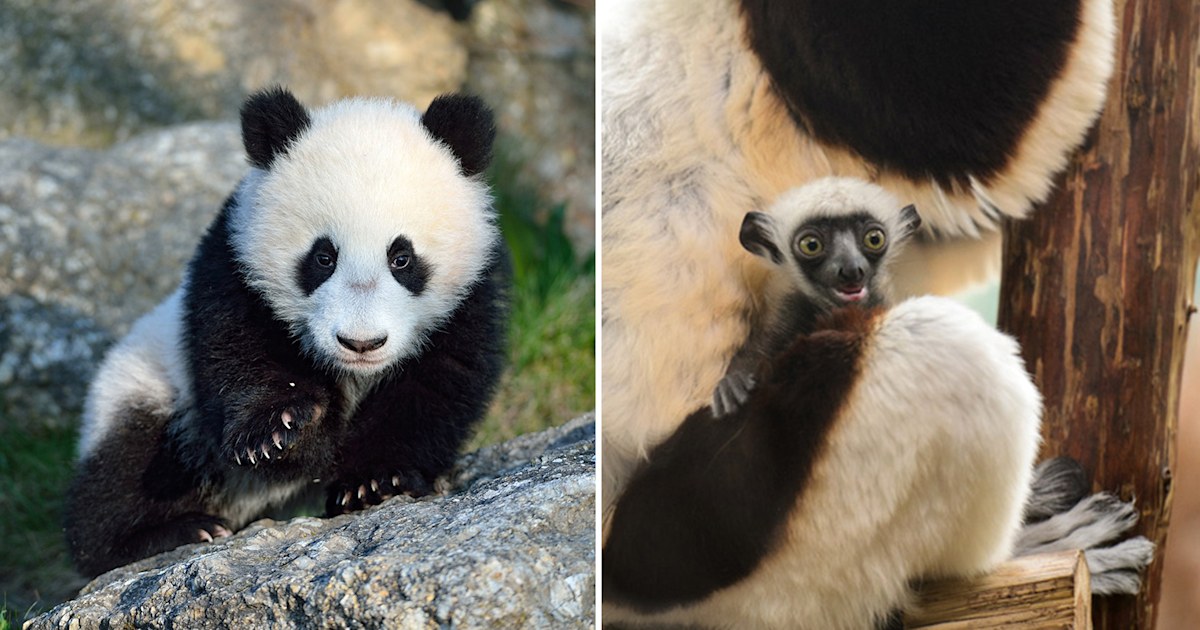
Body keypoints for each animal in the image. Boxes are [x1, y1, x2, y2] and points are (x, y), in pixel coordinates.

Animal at [65, 87, 508, 578]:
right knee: (128, 468)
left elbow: (436, 387)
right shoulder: (233, 270)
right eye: (323, 257)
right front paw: (280, 430)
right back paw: (168, 532)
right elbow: (237, 356)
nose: (361, 343)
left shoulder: (470, 297)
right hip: (146, 385)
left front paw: (374, 481)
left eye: (402, 258)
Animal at [601, 0, 1152, 625]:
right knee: (944, 351)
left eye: (871, 240)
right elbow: (960, 103)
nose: (850, 275)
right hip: (721, 532)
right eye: (812, 247)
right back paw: (1039, 545)